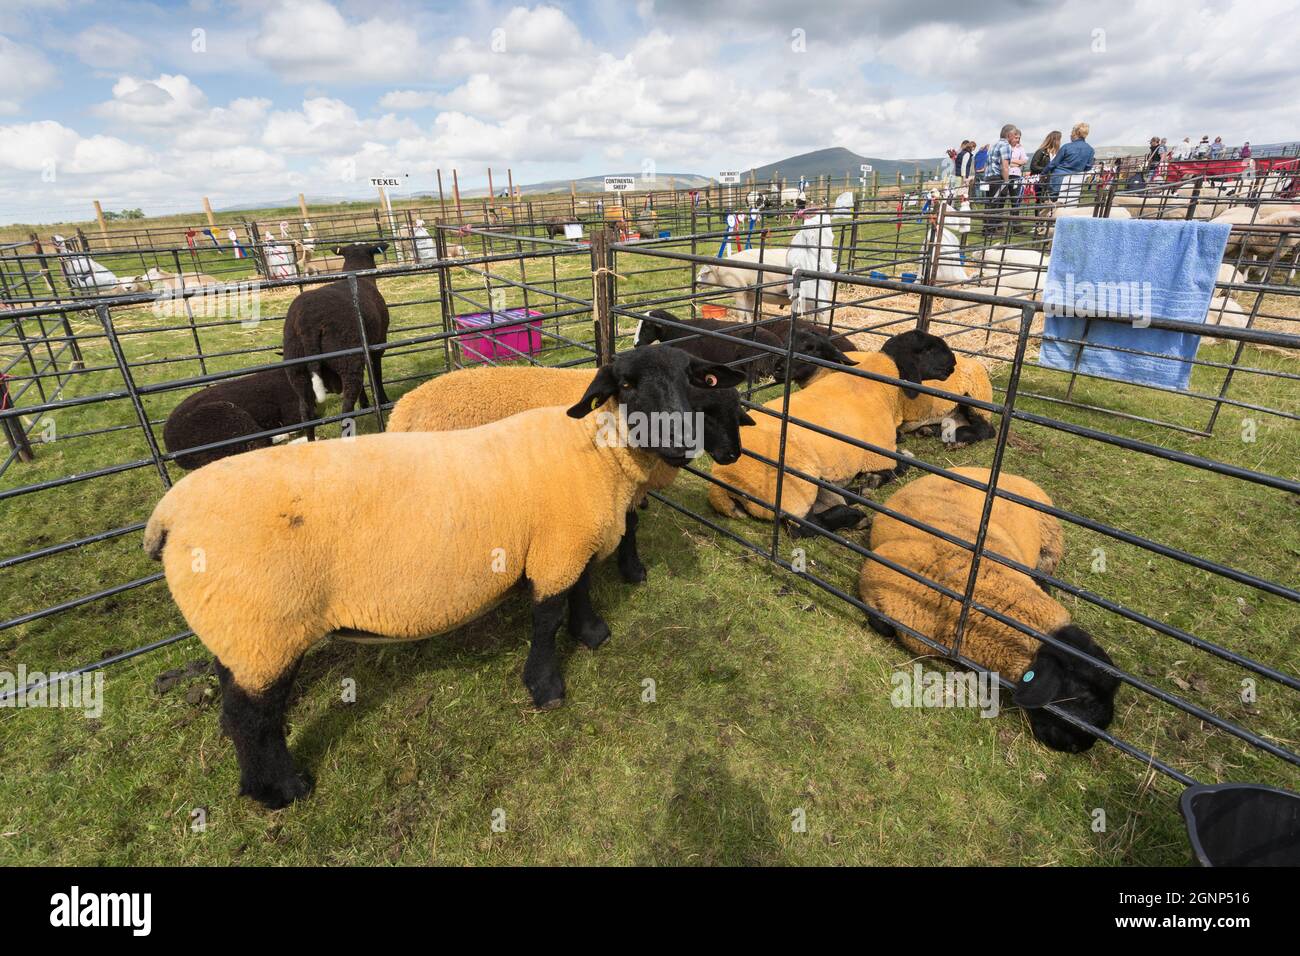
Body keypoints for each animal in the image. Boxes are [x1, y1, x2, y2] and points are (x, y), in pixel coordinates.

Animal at [281, 243, 390, 435]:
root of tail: (307, 323)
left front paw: (364, 403)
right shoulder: (378, 344)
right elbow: (376, 375)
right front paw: (382, 400)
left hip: (296, 369)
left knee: (306, 412)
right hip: (347, 359)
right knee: (346, 410)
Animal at [387, 353, 753, 583]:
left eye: (736, 412)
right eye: (708, 411)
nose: (733, 455)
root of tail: (403, 411)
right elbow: (630, 526)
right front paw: (633, 570)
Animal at [708, 330, 957, 535]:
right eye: (928, 349)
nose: (953, 363)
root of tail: (720, 482)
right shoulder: (879, 451)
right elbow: (898, 465)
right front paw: (884, 473)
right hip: (794, 488)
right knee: (803, 526)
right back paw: (855, 516)